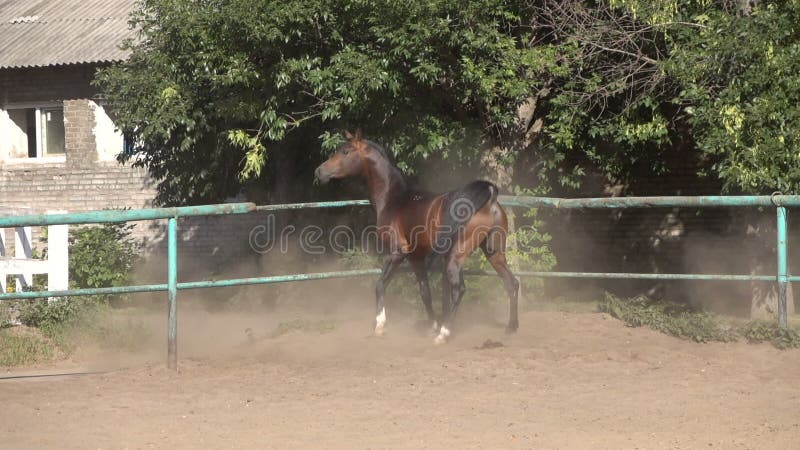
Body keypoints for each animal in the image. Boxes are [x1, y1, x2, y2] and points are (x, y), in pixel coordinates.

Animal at [314, 130, 520, 344]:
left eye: (345, 151)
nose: (319, 172)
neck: (394, 200)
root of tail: (490, 200)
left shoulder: (397, 253)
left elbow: (380, 285)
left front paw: (380, 325)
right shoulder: (416, 258)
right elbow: (425, 292)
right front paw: (431, 325)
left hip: (456, 256)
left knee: (459, 289)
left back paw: (444, 333)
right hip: (493, 252)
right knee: (511, 283)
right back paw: (511, 327)